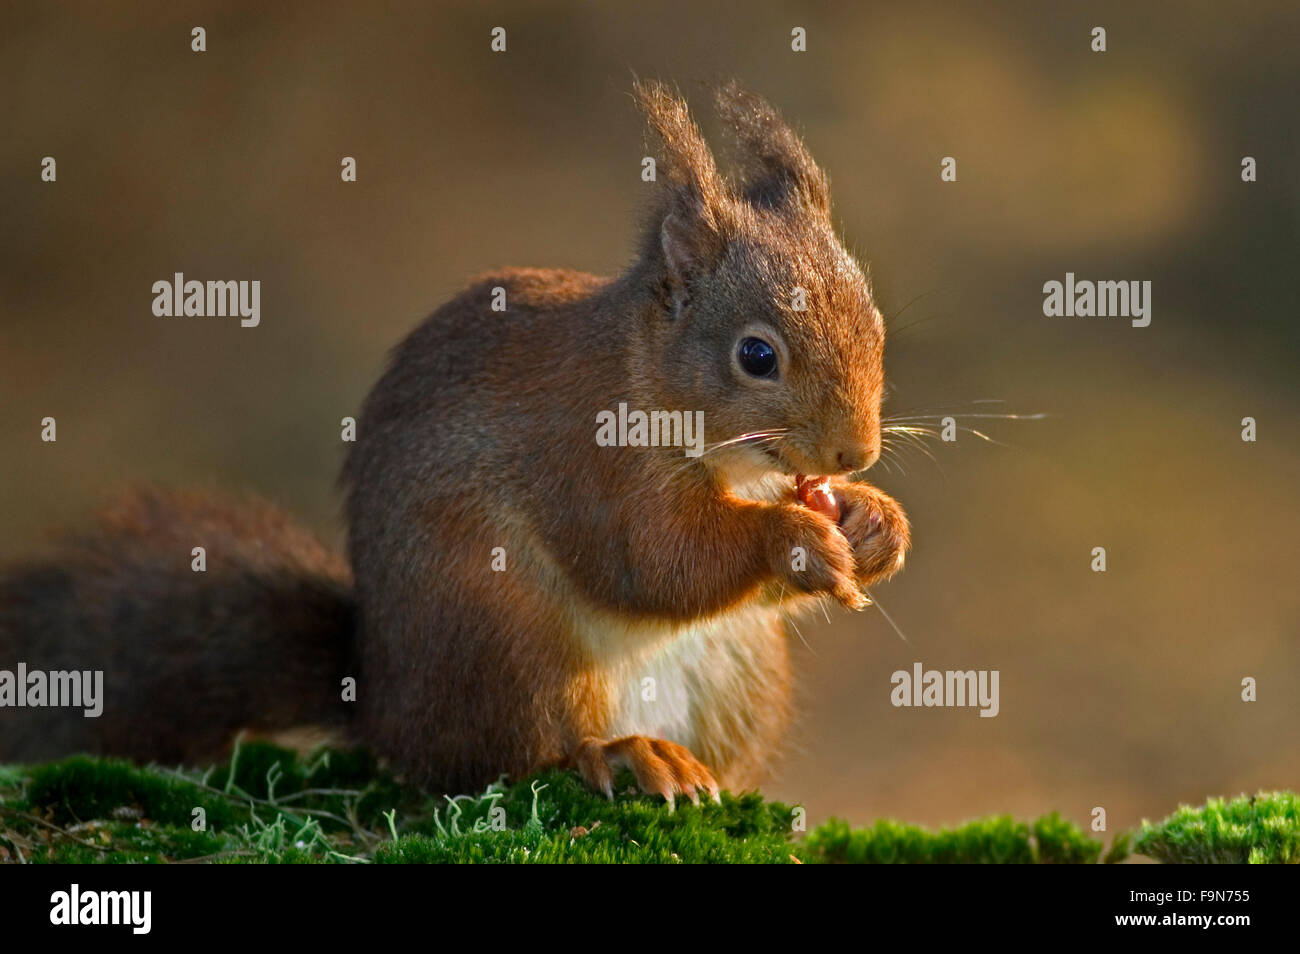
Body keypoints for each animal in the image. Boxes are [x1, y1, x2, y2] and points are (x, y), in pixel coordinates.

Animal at [0, 80, 909, 805]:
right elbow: (651, 559)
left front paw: (877, 524)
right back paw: (624, 753)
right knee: (512, 754)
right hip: (502, 634)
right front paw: (792, 538)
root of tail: (383, 703)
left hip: (739, 676)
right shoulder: (589, 459)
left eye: (876, 322)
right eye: (756, 356)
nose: (853, 455)